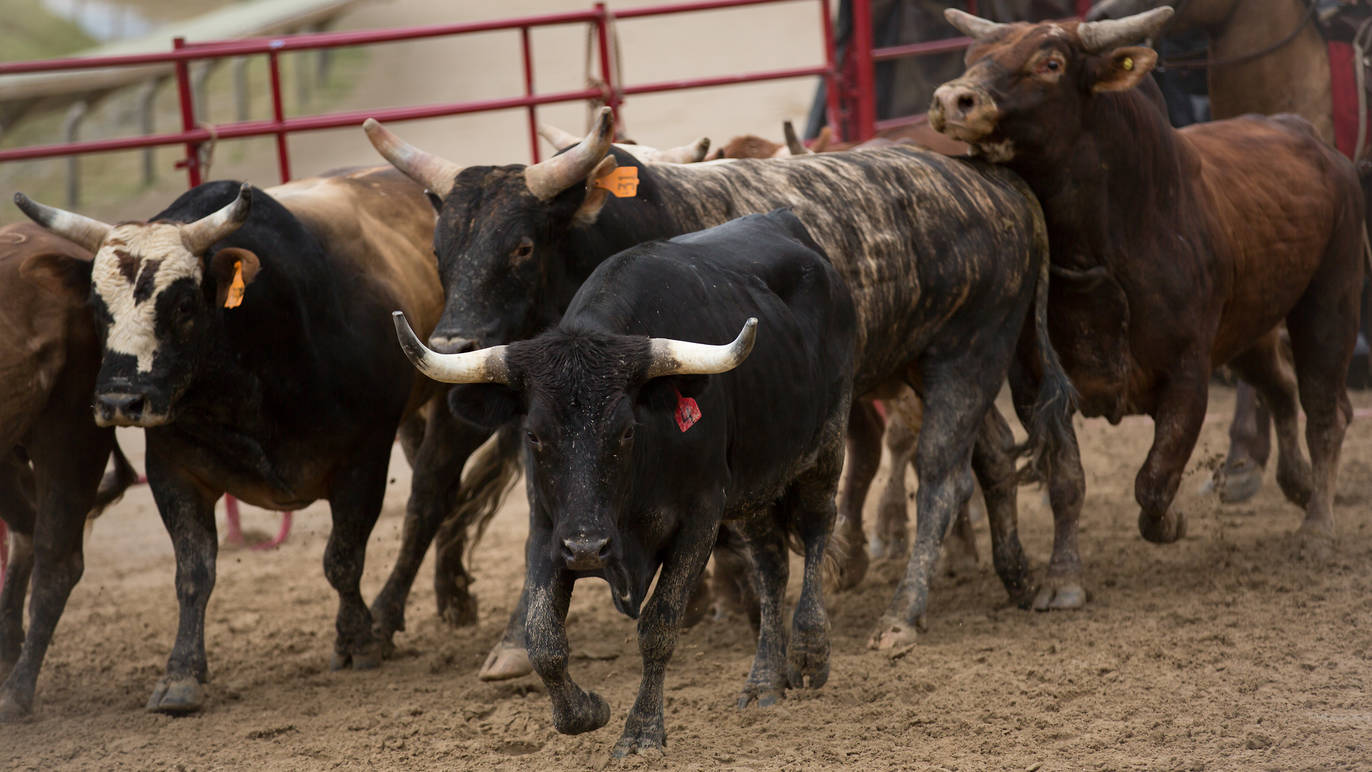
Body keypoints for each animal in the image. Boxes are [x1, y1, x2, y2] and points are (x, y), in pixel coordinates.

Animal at [12, 165, 458, 714]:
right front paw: (180, 676)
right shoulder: (173, 471)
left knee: (428, 501)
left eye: (183, 304)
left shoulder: (364, 460)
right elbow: (193, 573)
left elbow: (342, 560)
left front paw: (356, 641)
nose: (119, 400)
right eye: (97, 308)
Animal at [365, 104, 1075, 660]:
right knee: (994, 455)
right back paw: (1017, 577)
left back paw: (920, 610)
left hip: (973, 354)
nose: (454, 346)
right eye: (439, 251)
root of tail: (996, 183)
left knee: (948, 471)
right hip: (928, 360)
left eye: (521, 247)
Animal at [393, 210, 854, 757]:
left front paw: (642, 730)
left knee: (817, 526)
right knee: (771, 563)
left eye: (627, 431)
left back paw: (810, 651)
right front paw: (587, 710)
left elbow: (659, 624)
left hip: (826, 444)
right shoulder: (549, 526)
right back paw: (765, 680)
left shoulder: (701, 516)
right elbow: (541, 637)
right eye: (533, 434)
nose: (588, 550)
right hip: (758, 482)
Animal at [929, 8, 1364, 607]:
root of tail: (1313, 140)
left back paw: (1317, 528)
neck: (1116, 236)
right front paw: (1062, 579)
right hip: (1248, 330)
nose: (954, 99)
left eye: (1051, 62)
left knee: (1326, 410)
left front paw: (1172, 522)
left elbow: (1155, 480)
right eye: (974, 57)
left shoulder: (1189, 374)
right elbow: (1067, 482)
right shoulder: (1037, 385)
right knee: (1279, 386)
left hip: (1329, 303)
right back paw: (1294, 484)